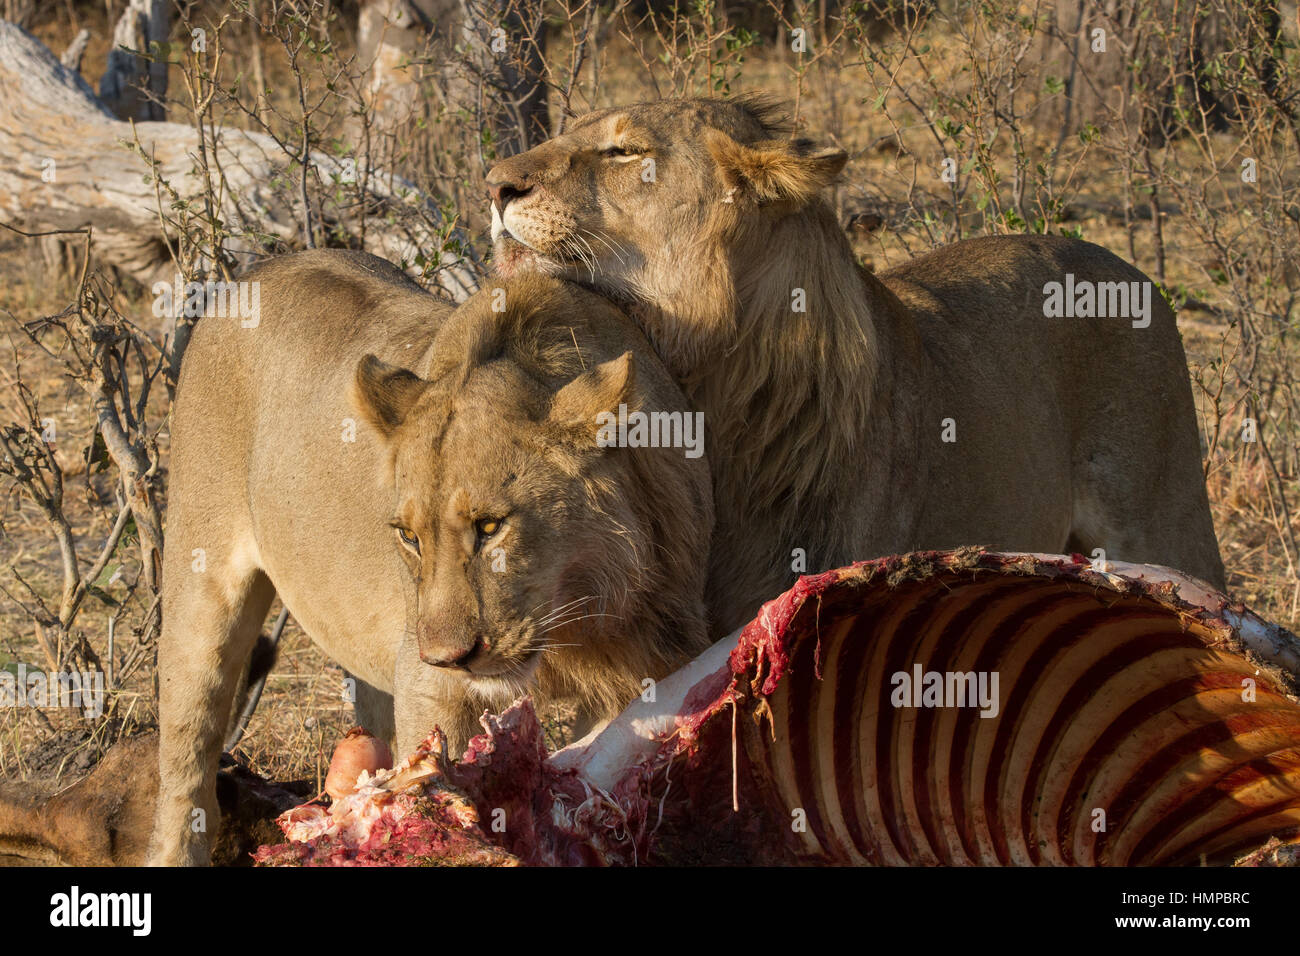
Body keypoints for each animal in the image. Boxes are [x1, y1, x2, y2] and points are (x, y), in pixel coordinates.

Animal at [149, 250, 713, 865]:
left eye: (490, 527)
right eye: (409, 536)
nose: (450, 657)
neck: (575, 622)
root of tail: (250, 275)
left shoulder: (644, 668)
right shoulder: (432, 689)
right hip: (200, 594)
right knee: (186, 763)